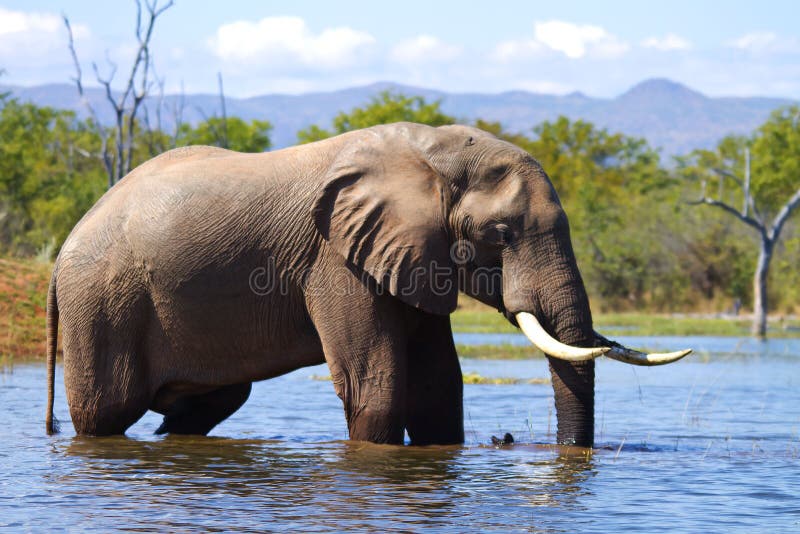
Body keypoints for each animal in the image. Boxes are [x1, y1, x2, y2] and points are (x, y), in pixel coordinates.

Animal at [45, 122, 690, 447]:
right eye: (501, 234)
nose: (567, 457)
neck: (434, 153)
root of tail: (62, 251)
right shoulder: (335, 260)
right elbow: (375, 383)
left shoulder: (412, 255)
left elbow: (438, 385)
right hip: (102, 301)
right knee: (105, 412)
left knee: (210, 404)